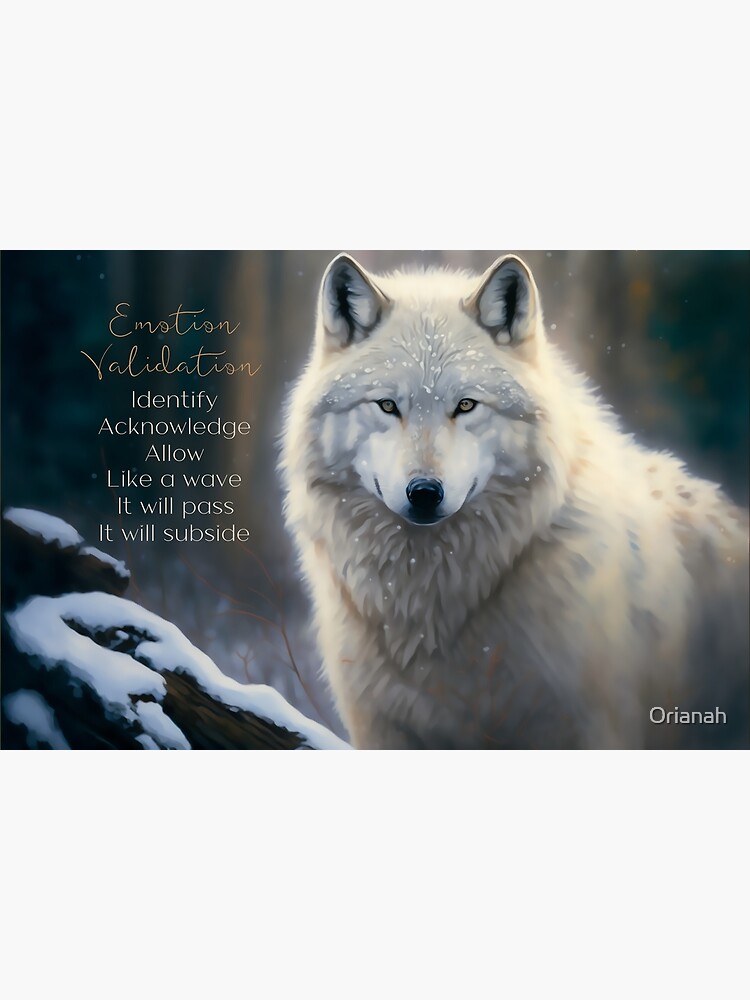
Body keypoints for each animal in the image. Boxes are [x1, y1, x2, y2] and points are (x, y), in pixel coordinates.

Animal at [280, 253, 749, 749]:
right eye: (387, 406)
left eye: (466, 405)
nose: (424, 493)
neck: (433, 611)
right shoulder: (382, 730)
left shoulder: (585, 726)